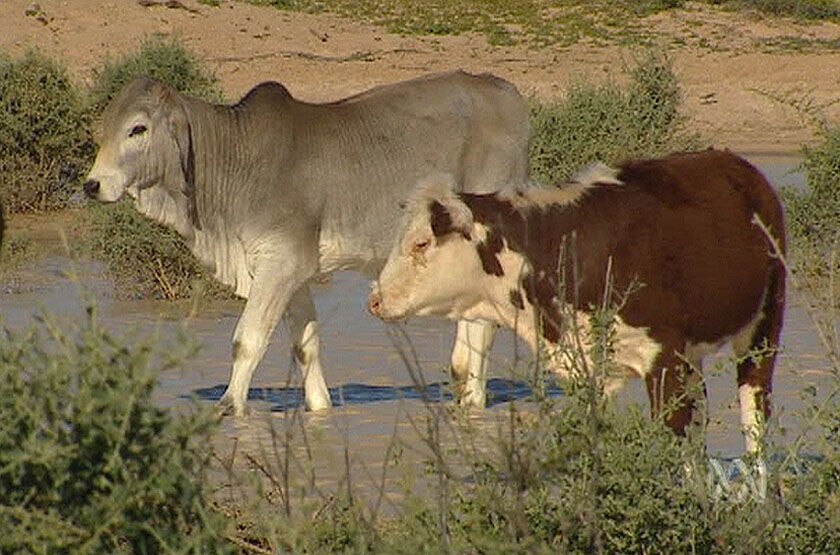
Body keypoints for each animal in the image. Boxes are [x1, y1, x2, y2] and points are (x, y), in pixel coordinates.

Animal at [83, 71, 530, 416]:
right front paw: (320, 411)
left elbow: (247, 340)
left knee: (482, 326)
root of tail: (507, 92)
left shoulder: (280, 263)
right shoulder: (290, 273)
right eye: (104, 129)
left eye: (138, 128)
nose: (92, 185)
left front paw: (231, 407)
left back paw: (472, 400)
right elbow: (306, 347)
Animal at [369, 150, 786, 454]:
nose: (375, 299)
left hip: (763, 330)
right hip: (693, 355)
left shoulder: (663, 358)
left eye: (421, 243)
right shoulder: (591, 369)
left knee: (754, 418)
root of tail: (737, 164)